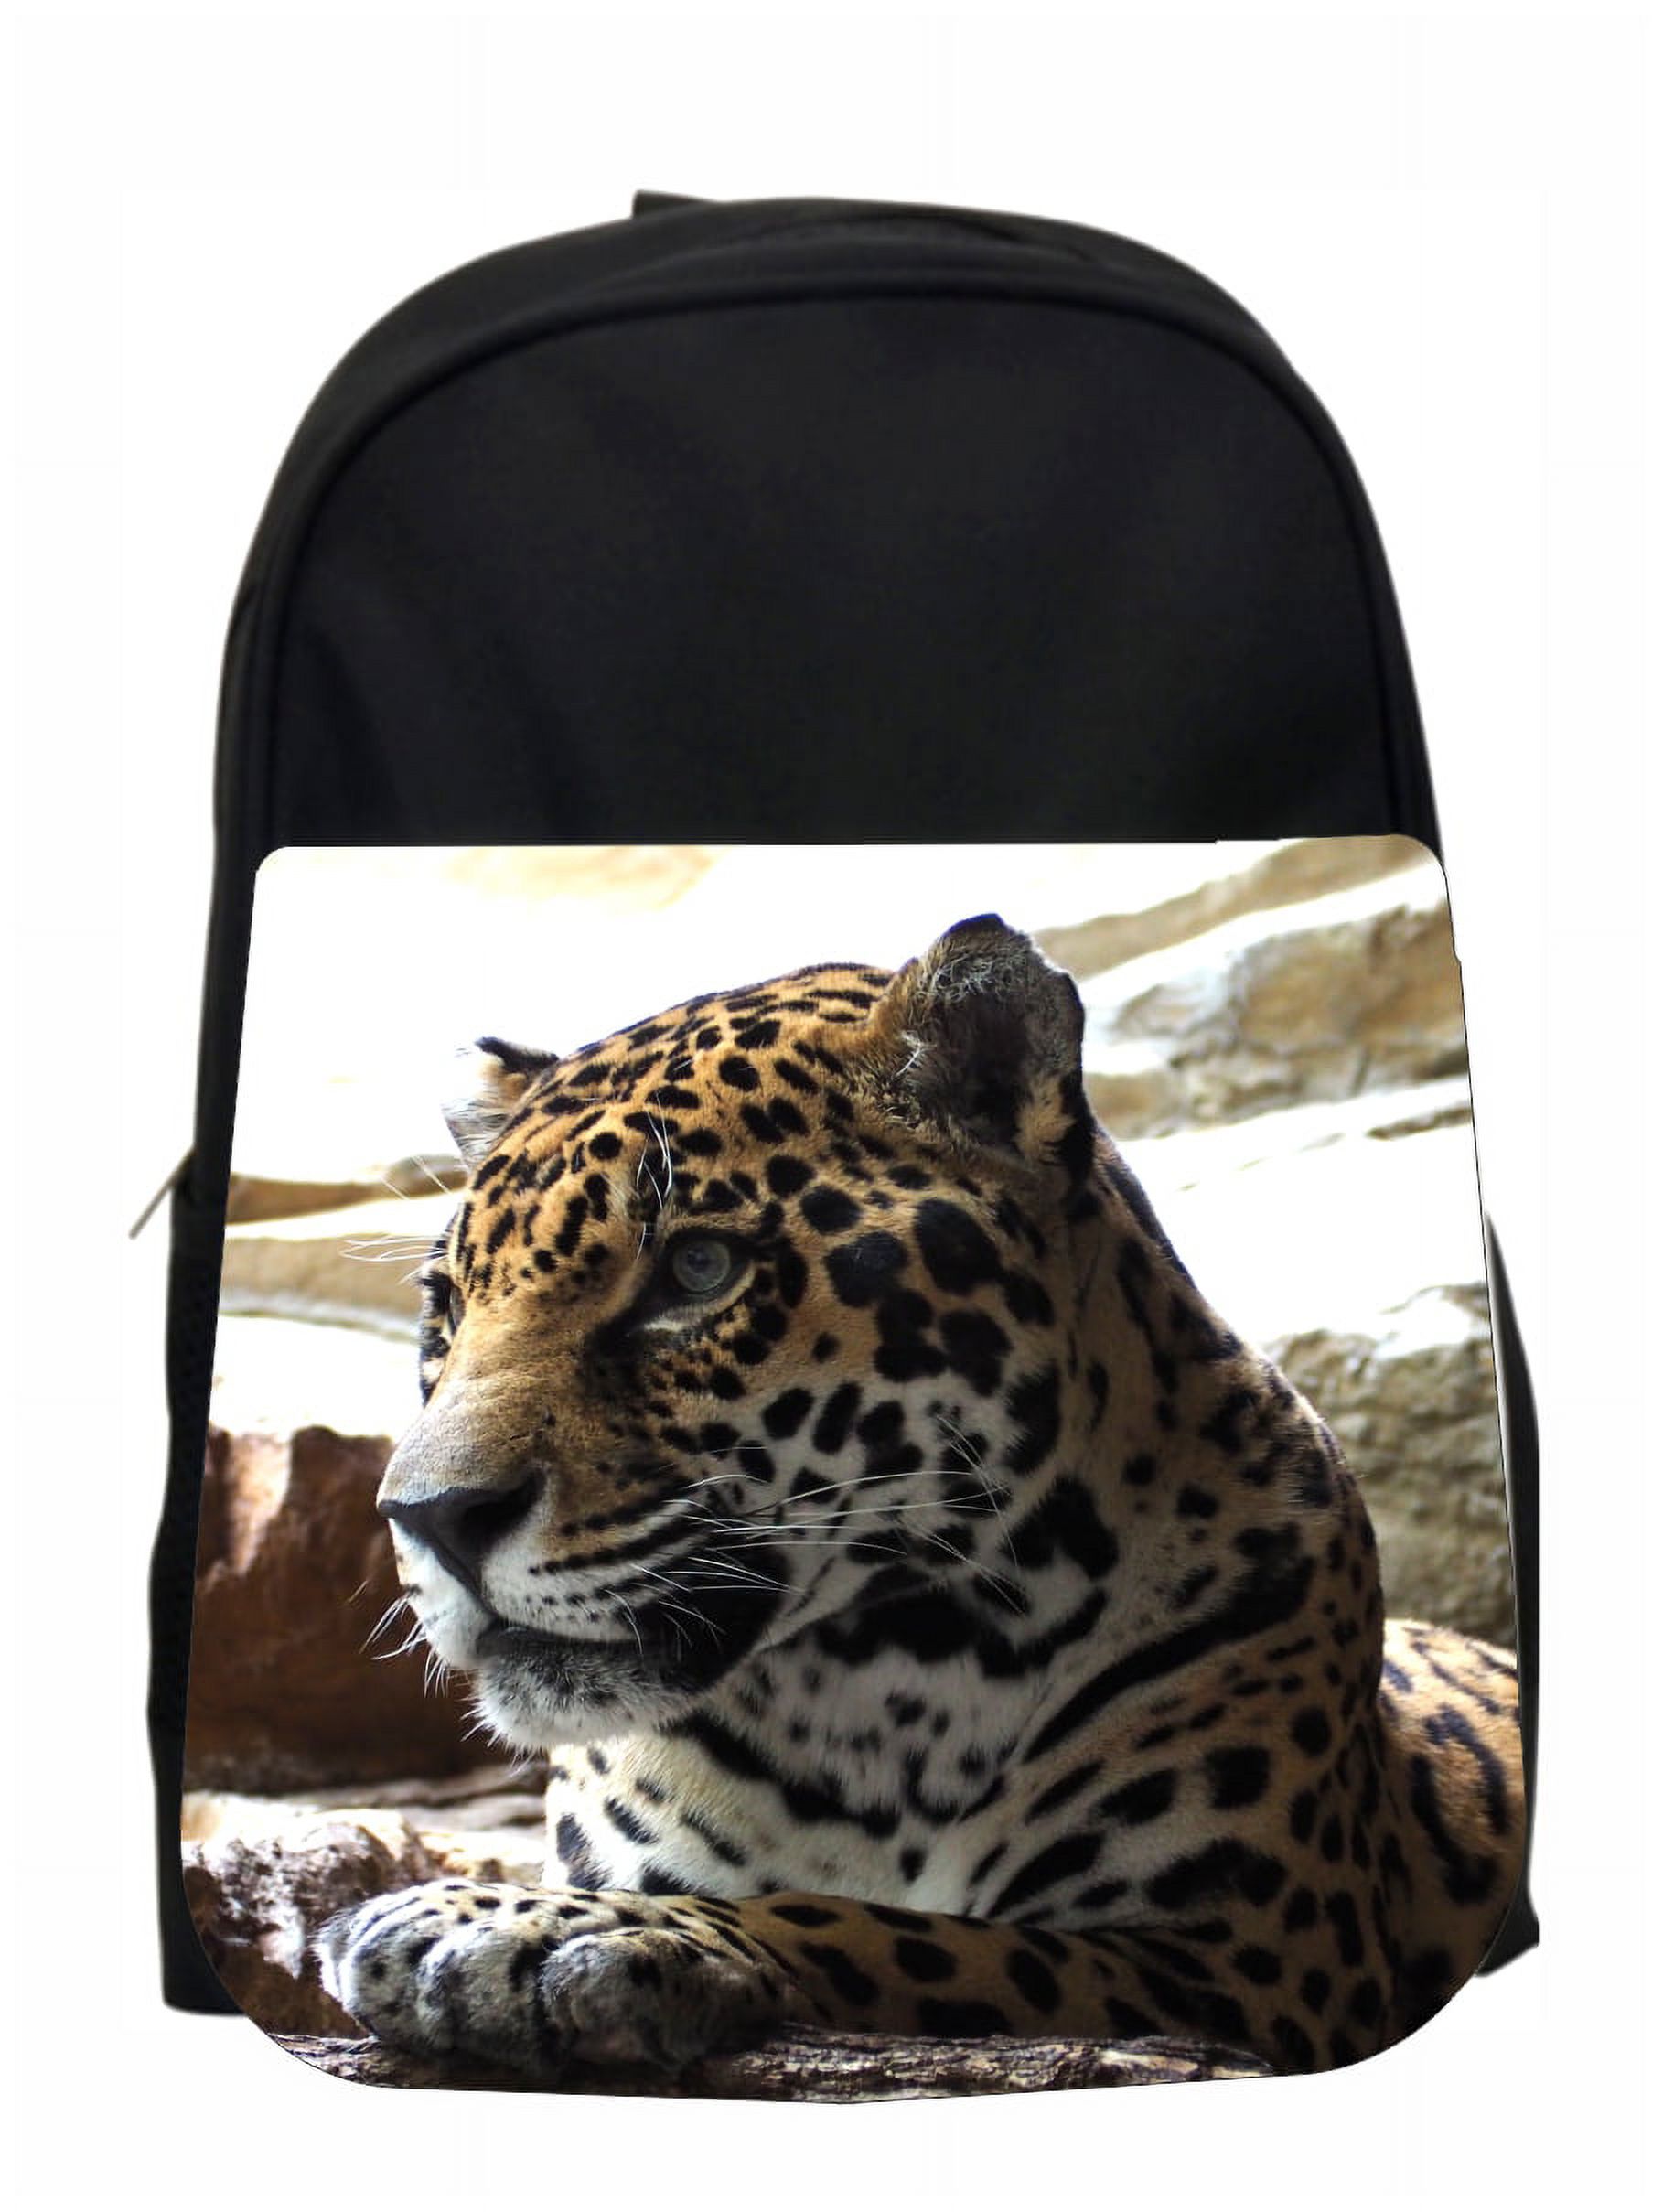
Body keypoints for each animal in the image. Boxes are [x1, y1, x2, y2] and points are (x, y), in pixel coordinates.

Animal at [319, 913, 1526, 2082]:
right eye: (445, 1309)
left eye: (699, 1271)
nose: (428, 1518)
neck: (884, 1690)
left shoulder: (1255, 1961)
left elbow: (894, 1931)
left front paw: (525, 1928)